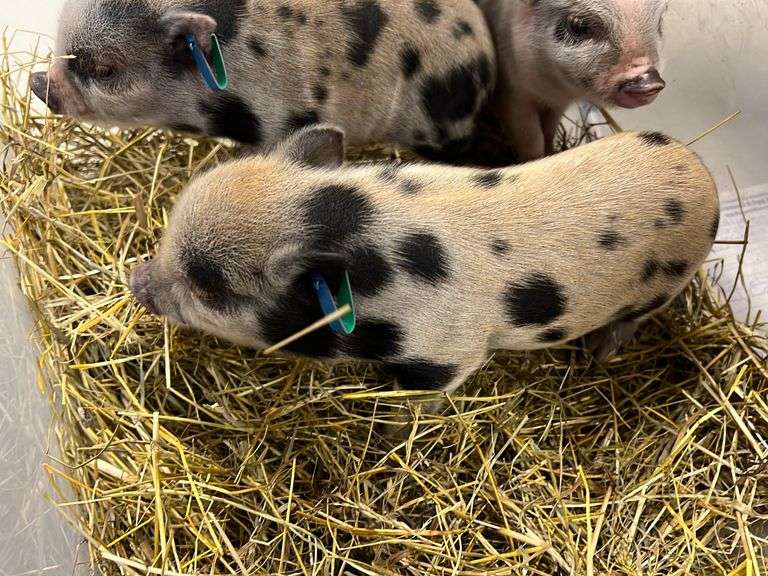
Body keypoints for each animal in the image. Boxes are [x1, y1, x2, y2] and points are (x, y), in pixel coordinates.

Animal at [129, 124, 718, 394]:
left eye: (209, 288)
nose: (136, 278)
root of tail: (703, 175)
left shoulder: (447, 354)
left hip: (665, 283)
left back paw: (600, 353)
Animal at [475, 0, 668, 161]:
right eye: (578, 25)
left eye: (660, 22)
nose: (650, 80)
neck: (551, 88)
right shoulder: (512, 96)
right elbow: (531, 138)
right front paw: (535, 159)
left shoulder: (557, 105)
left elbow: (549, 131)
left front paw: (551, 152)